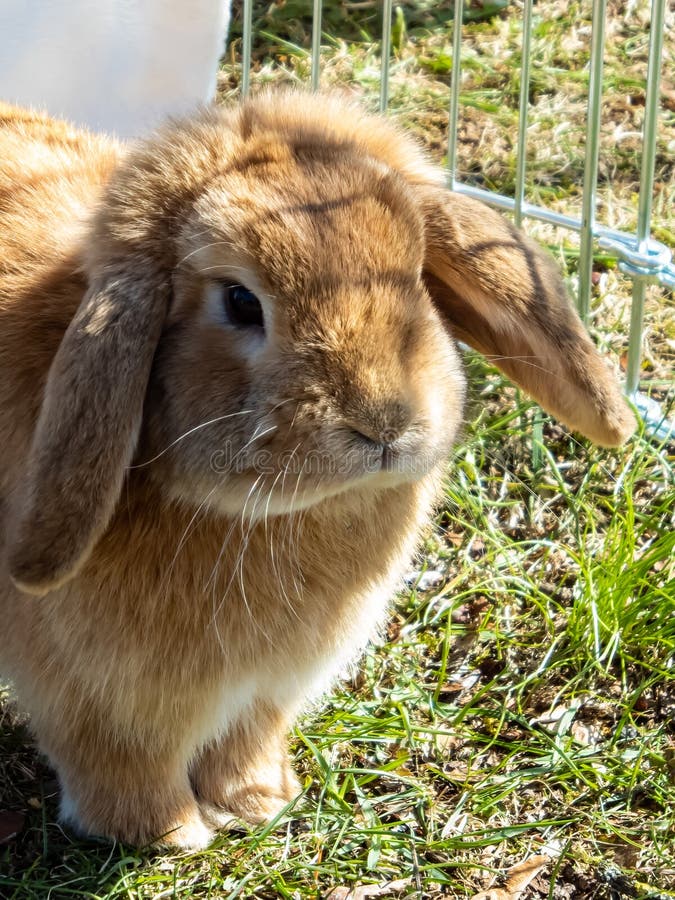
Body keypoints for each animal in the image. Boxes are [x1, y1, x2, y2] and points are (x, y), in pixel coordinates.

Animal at [0, 92, 636, 849]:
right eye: (240, 301)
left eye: (416, 277)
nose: (383, 422)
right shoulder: (99, 699)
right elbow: (124, 762)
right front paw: (167, 835)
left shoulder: (264, 693)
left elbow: (244, 742)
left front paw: (259, 803)